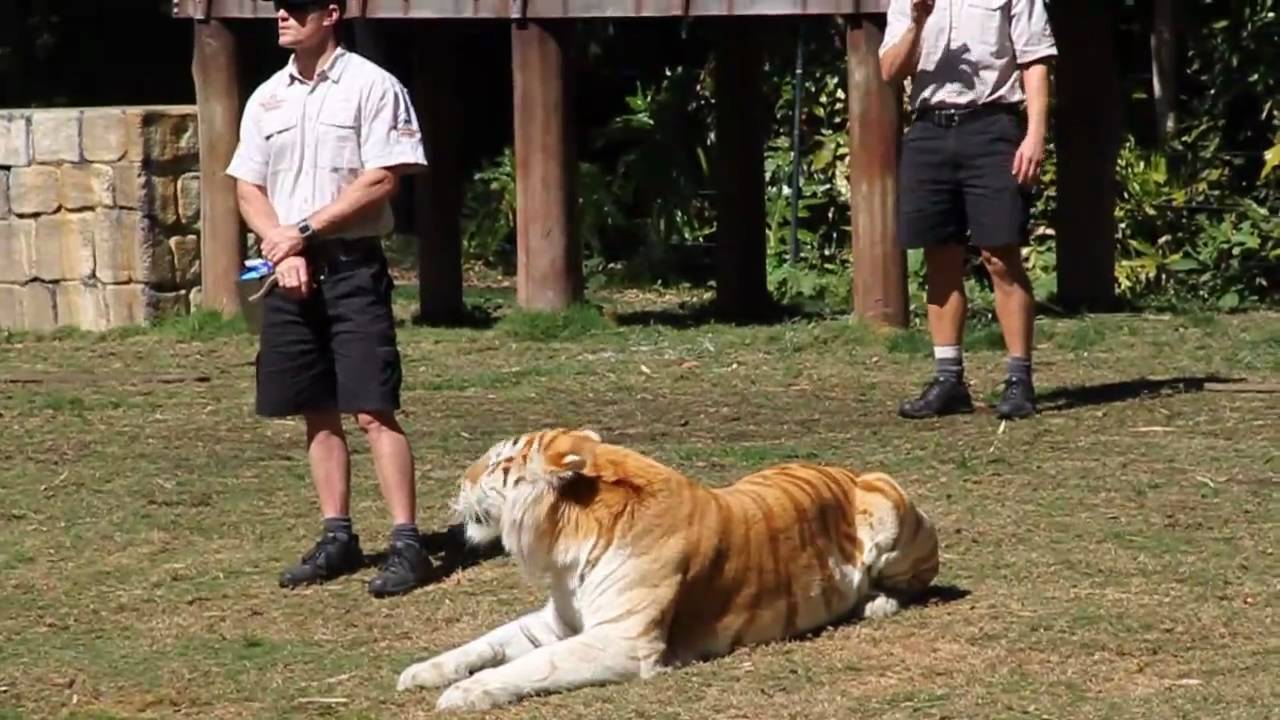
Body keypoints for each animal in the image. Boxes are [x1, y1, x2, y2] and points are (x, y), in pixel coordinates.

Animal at [396, 427, 940, 712]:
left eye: (498, 466)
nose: (460, 479)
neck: (564, 545)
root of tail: (851, 470)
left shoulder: (624, 640)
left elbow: (533, 666)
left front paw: (463, 693)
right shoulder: (559, 621)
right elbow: (484, 643)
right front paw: (422, 671)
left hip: (890, 509)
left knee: (915, 583)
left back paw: (877, 603)